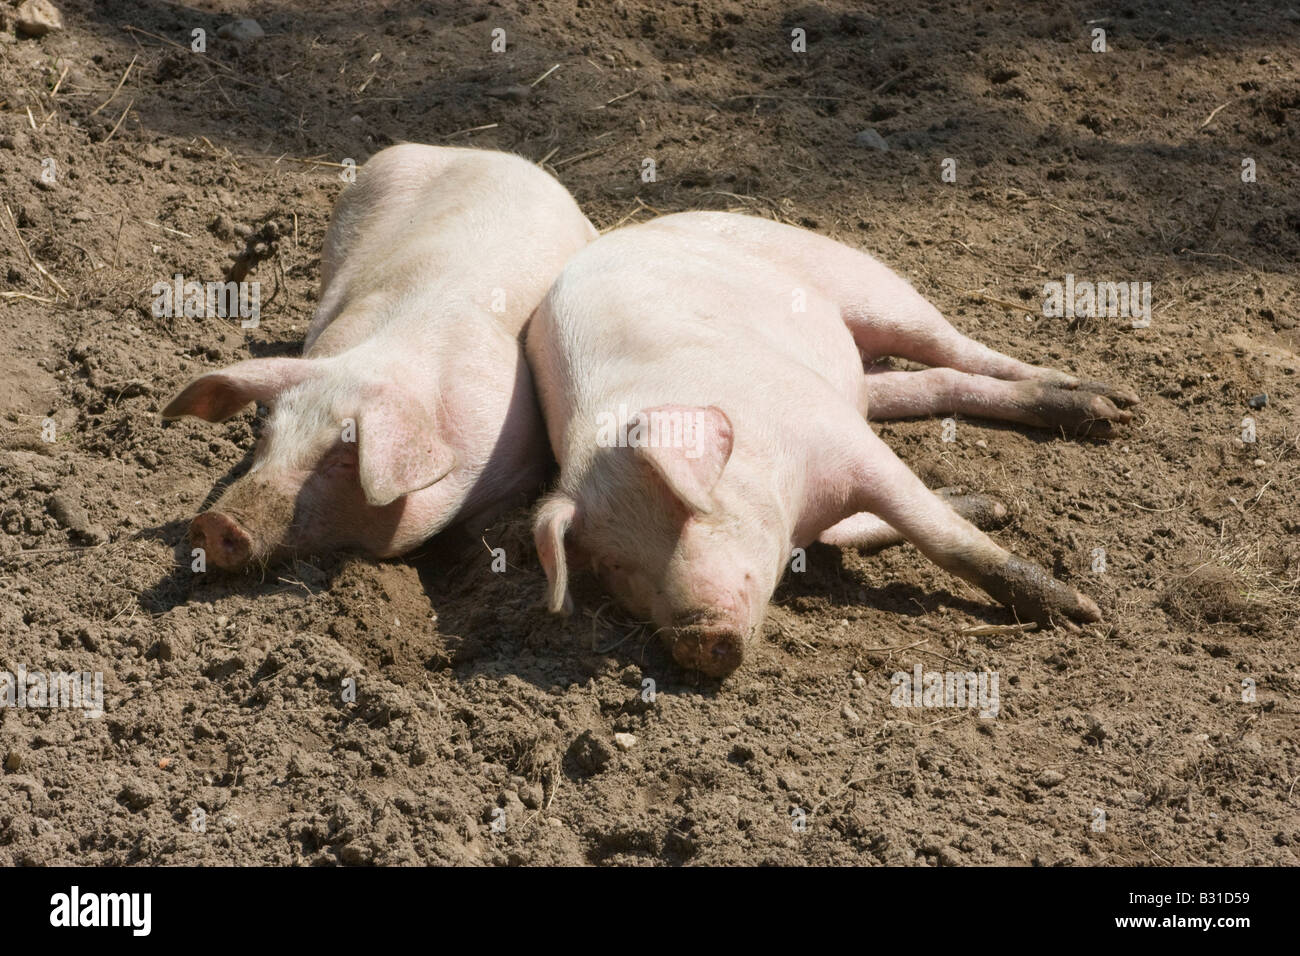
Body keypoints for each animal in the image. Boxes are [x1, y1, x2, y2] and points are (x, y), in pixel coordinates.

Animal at [529, 212, 1139, 677]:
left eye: (690, 512)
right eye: (614, 565)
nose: (695, 640)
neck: (797, 506)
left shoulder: (839, 434)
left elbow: (943, 539)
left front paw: (1083, 615)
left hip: (867, 288)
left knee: (961, 350)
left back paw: (1110, 405)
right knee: (934, 382)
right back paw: (1002, 497)